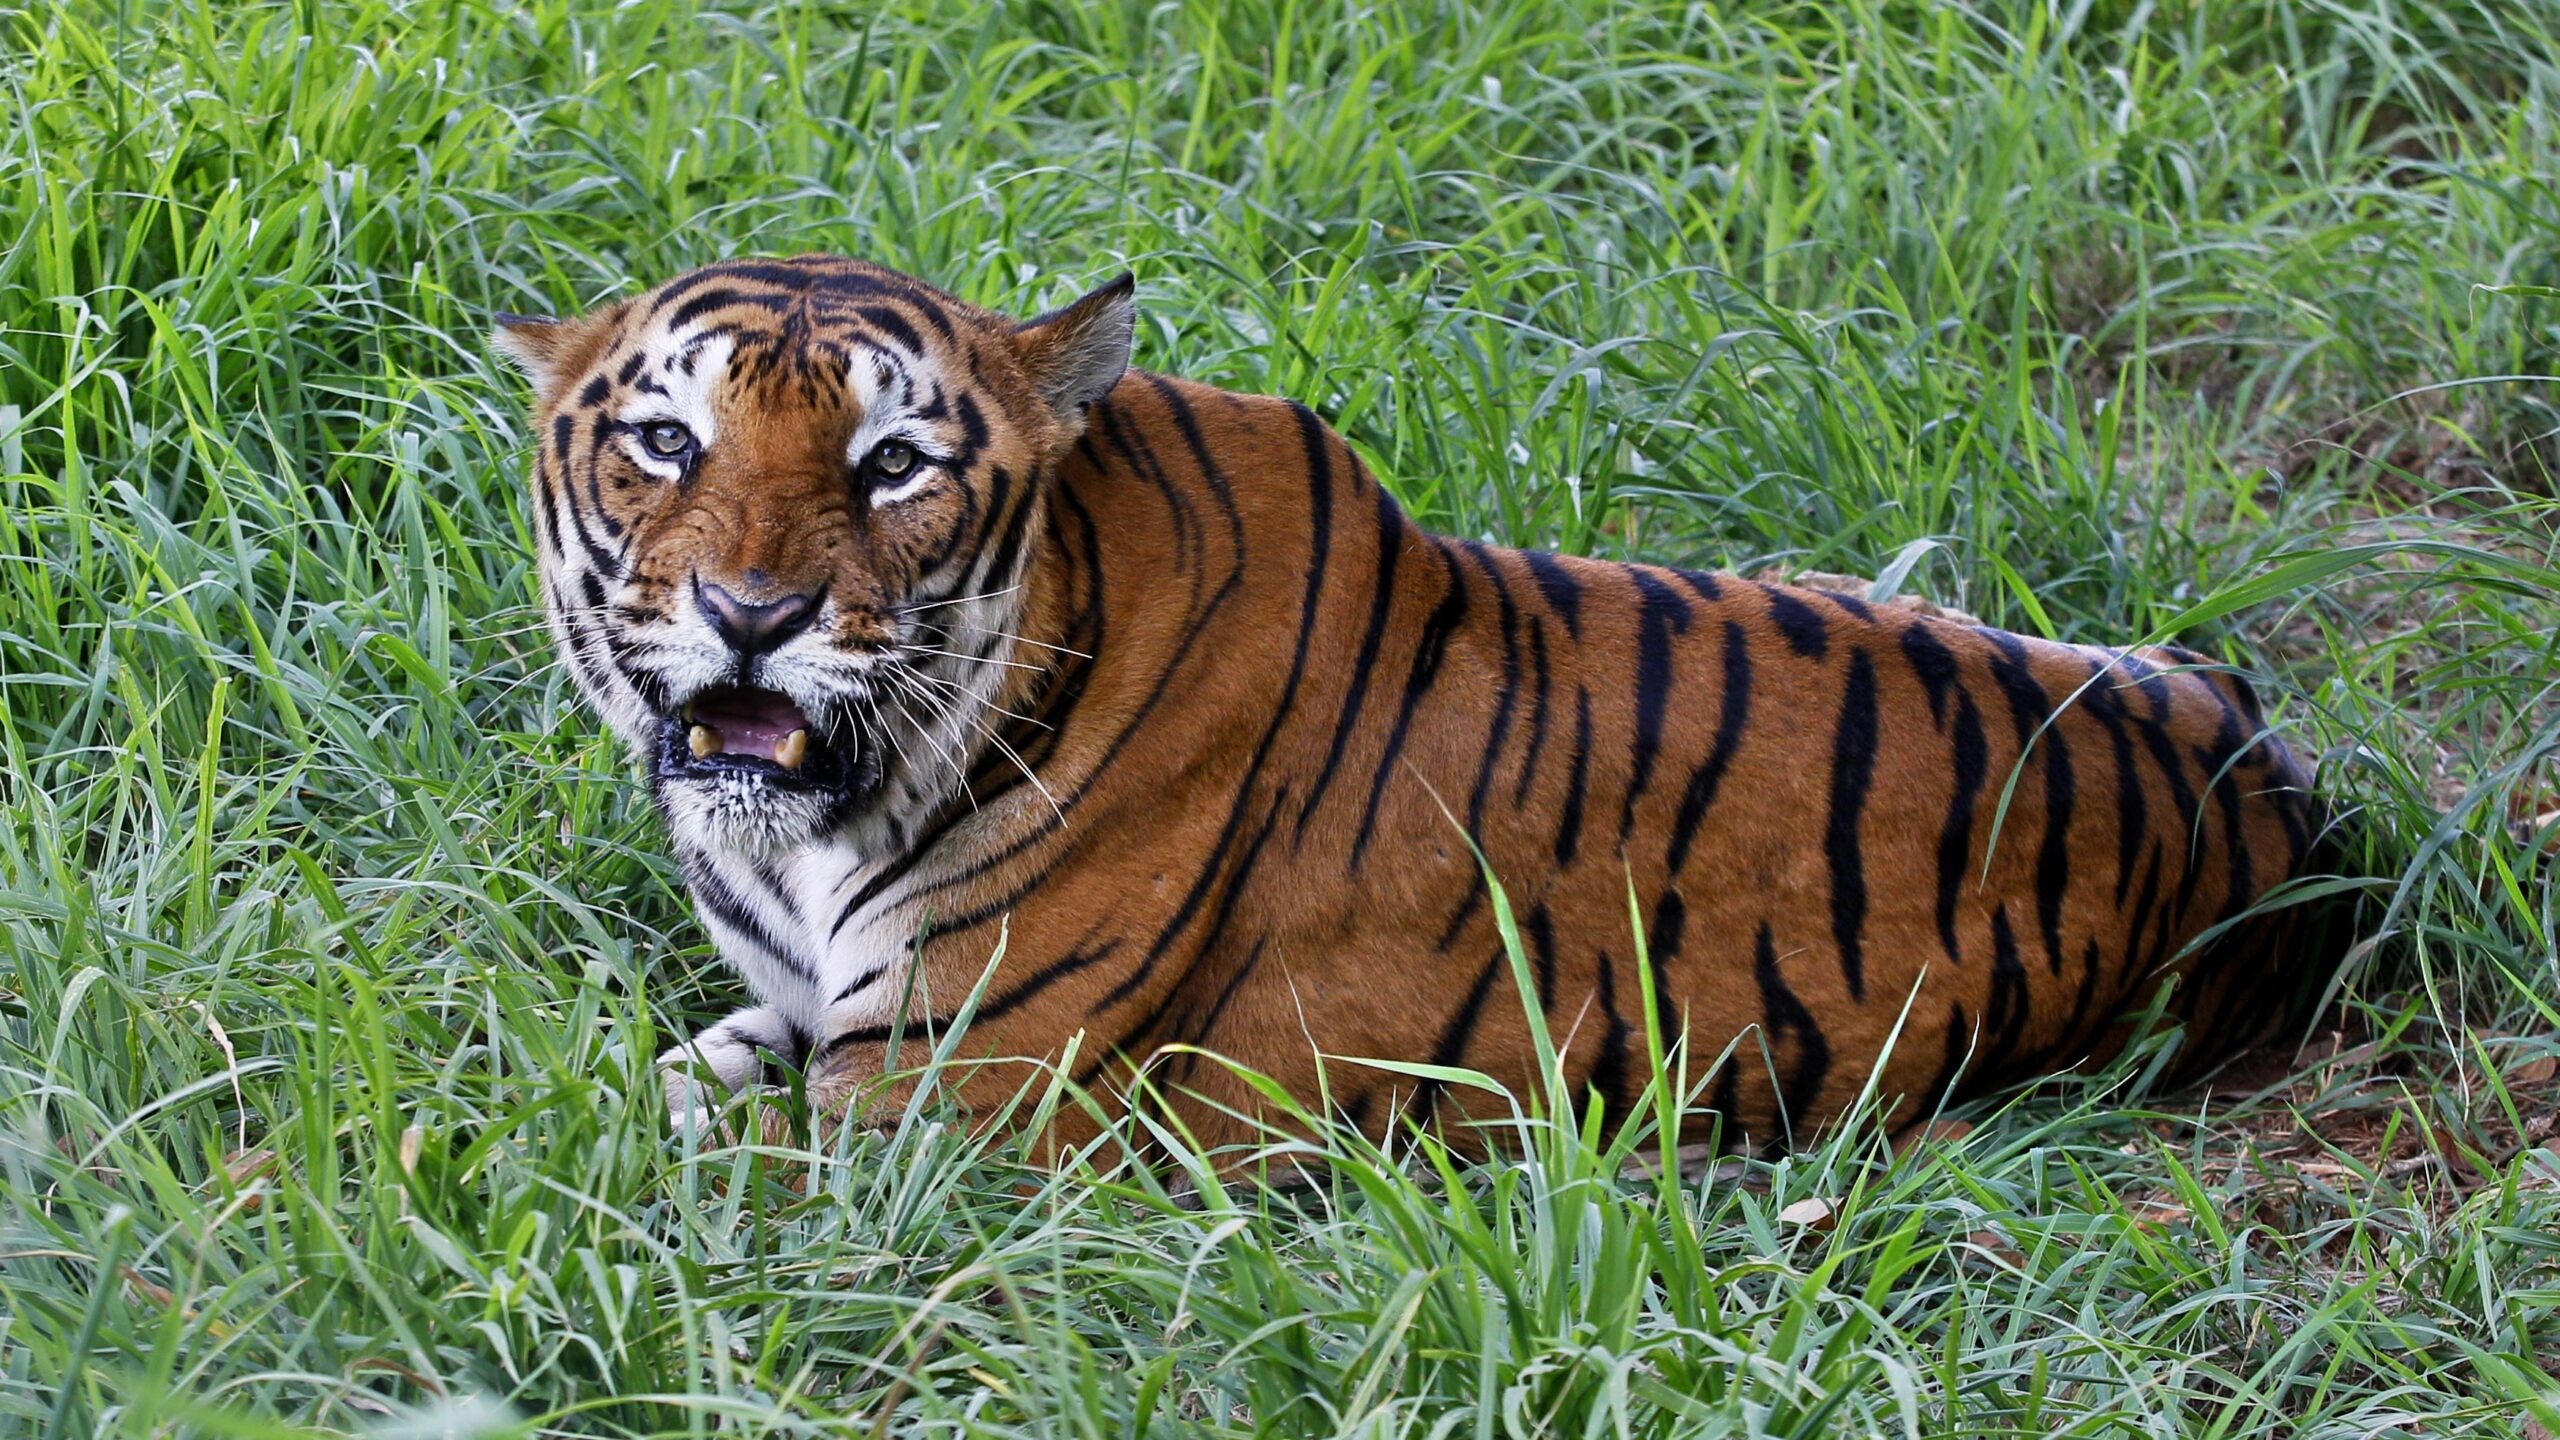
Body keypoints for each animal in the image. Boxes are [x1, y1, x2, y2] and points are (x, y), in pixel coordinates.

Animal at [492, 254, 2336, 1160]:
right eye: (666, 441)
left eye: (894, 465)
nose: (755, 614)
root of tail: (2286, 779)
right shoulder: (802, 1023)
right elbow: (629, 1093)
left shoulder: (942, 1102)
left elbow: (627, 1190)